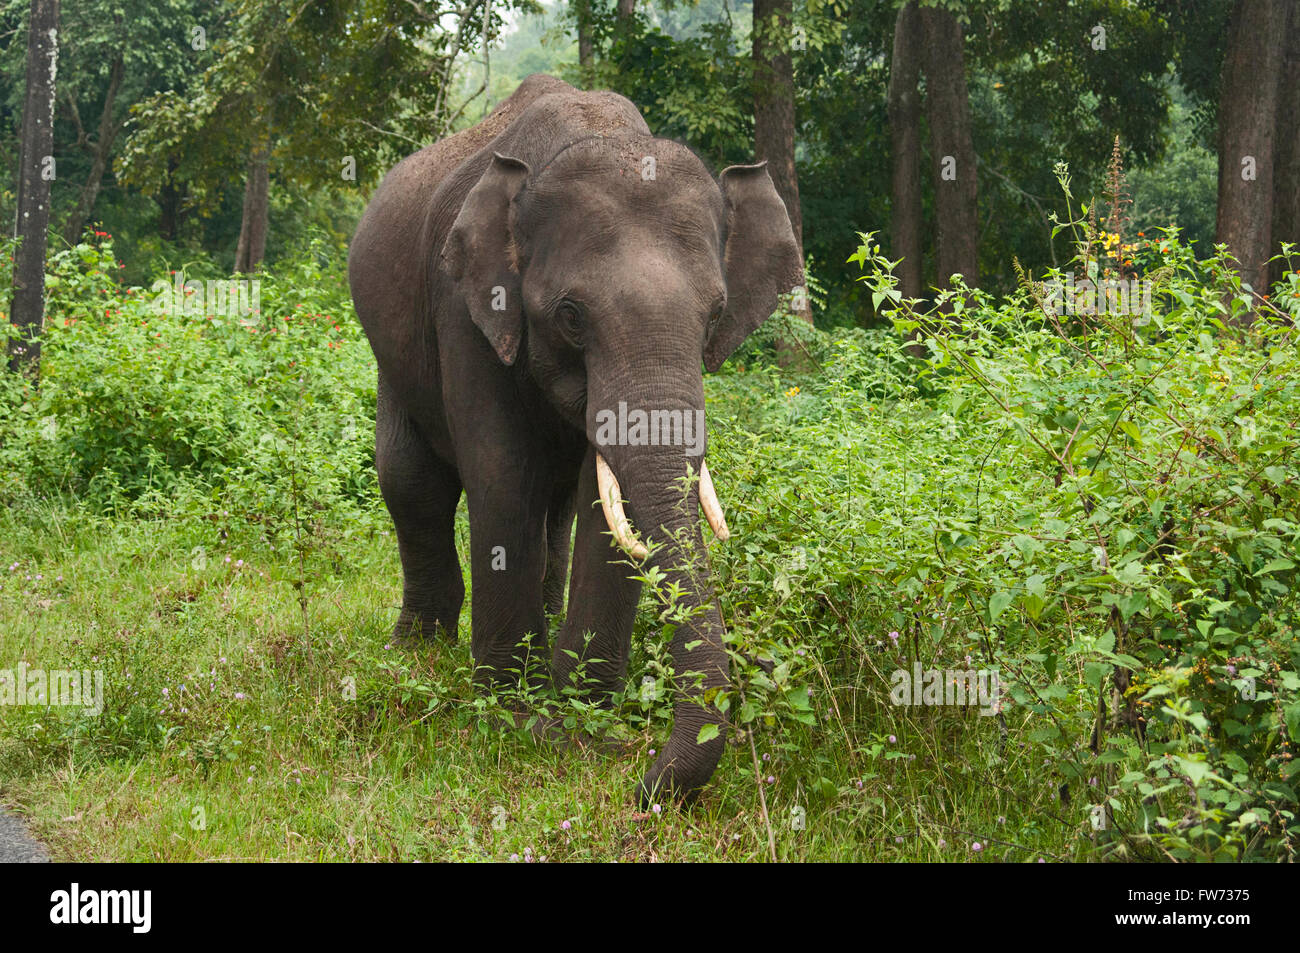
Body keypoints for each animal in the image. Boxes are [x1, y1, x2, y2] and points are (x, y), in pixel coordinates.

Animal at [347, 73, 803, 805]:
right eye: (569, 315)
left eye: (715, 315)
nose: (645, 786)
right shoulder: (464, 307)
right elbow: (501, 472)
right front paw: (514, 709)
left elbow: (601, 496)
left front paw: (580, 707)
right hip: (393, 354)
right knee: (412, 480)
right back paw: (418, 650)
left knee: (554, 508)